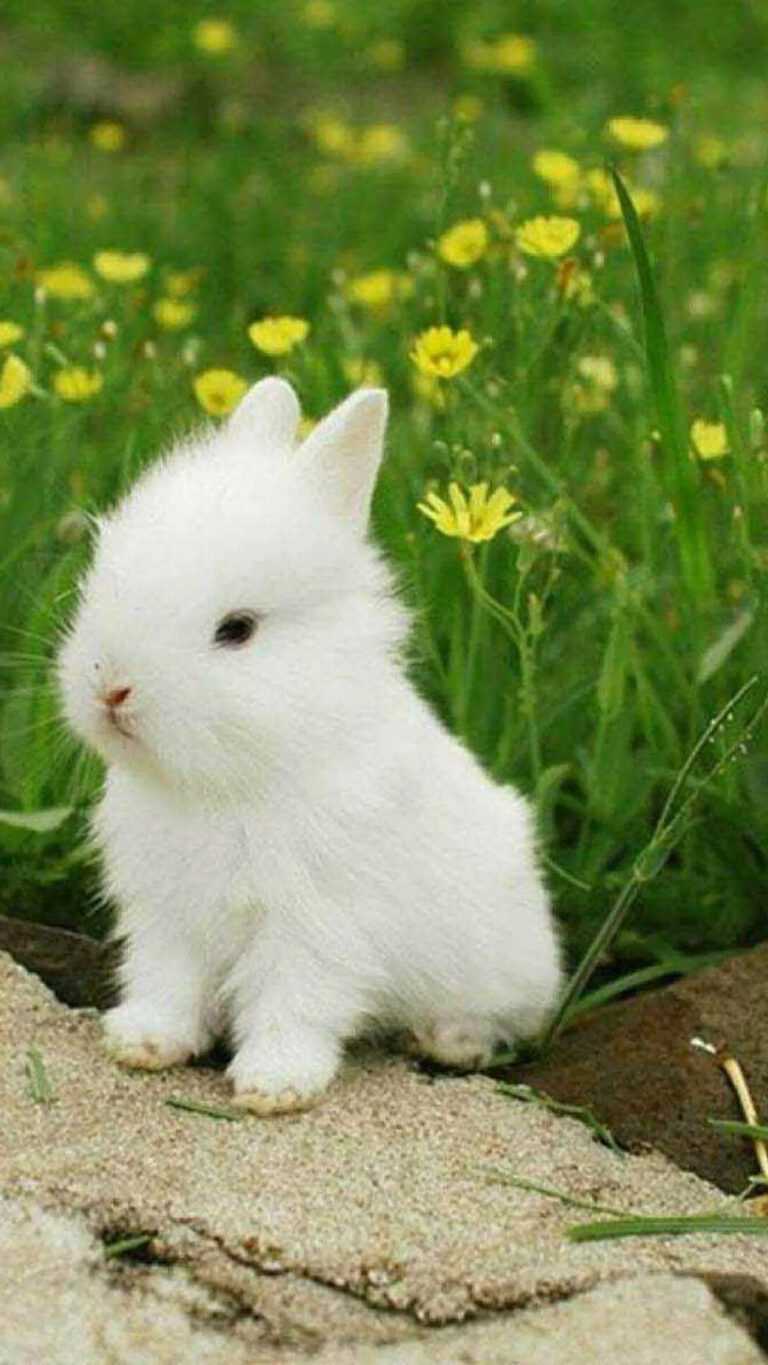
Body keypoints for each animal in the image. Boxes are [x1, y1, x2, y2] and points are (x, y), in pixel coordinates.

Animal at [57, 378, 562, 1114]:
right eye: (101, 583)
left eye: (237, 629)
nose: (112, 688)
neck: (231, 780)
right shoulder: (168, 916)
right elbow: (167, 982)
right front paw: (144, 1043)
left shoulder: (315, 927)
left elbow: (292, 1005)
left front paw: (275, 1086)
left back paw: (449, 1041)